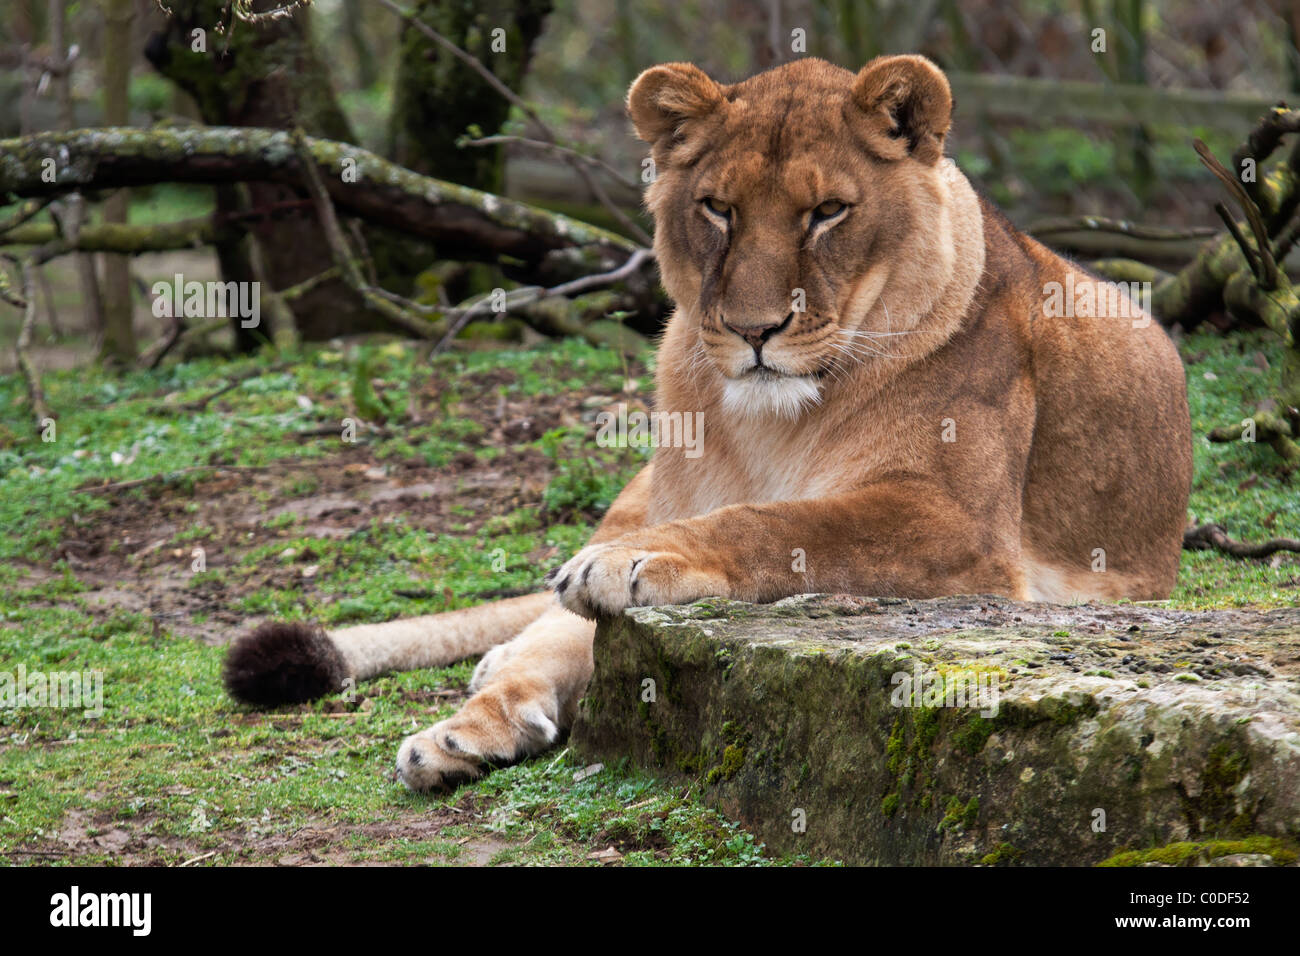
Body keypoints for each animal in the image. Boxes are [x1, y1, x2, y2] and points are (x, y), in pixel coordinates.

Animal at [223, 55, 1192, 790]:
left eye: (828, 212)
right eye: (718, 209)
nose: (755, 330)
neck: (768, 421)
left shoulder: (965, 528)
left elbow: (782, 520)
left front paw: (646, 564)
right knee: (545, 626)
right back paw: (469, 722)